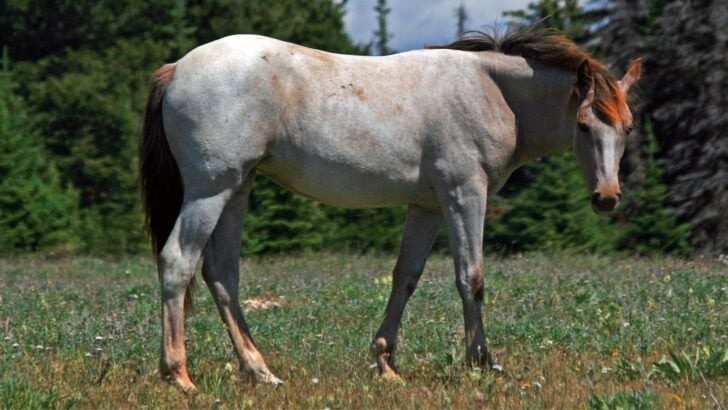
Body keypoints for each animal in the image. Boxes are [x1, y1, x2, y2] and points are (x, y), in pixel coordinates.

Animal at [140, 26, 640, 391]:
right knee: (178, 262)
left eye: (628, 127)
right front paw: (481, 363)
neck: (493, 91)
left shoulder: (427, 207)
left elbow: (405, 278)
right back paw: (179, 375)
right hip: (210, 189)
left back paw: (261, 371)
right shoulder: (464, 193)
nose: (606, 197)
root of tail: (176, 68)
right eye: (583, 125)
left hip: (237, 189)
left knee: (222, 273)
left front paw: (385, 363)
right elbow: (471, 277)